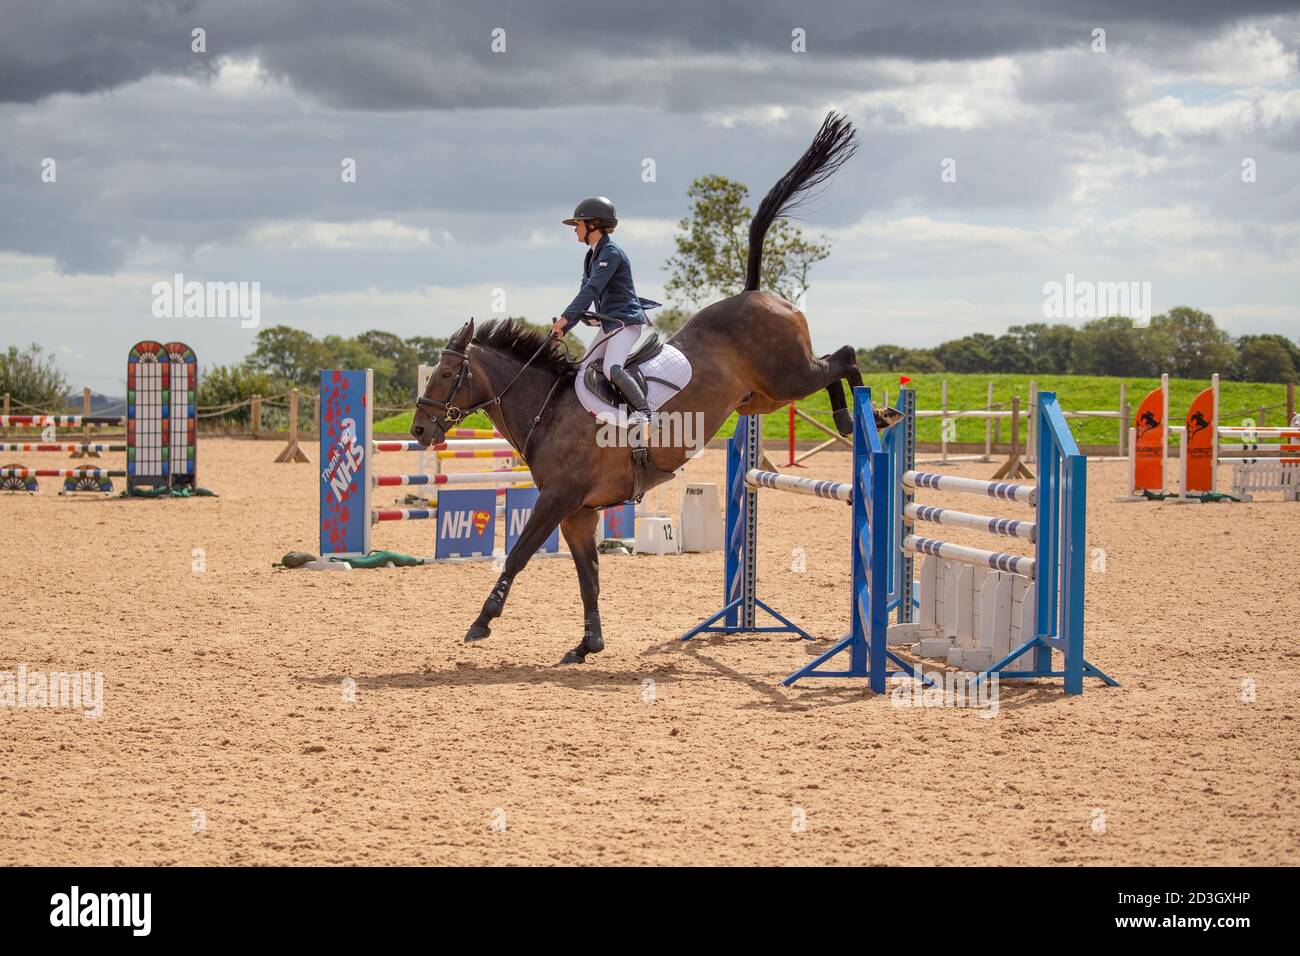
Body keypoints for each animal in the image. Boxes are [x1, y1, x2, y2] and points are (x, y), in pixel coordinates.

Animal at [411, 111, 897, 664]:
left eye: (445, 374)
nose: (420, 430)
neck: (546, 410)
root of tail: (754, 292)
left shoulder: (557, 499)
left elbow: (516, 555)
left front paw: (482, 622)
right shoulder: (578, 513)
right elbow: (588, 578)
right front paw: (588, 643)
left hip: (790, 376)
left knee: (844, 359)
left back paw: (865, 417)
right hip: (765, 397)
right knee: (832, 368)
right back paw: (859, 418)